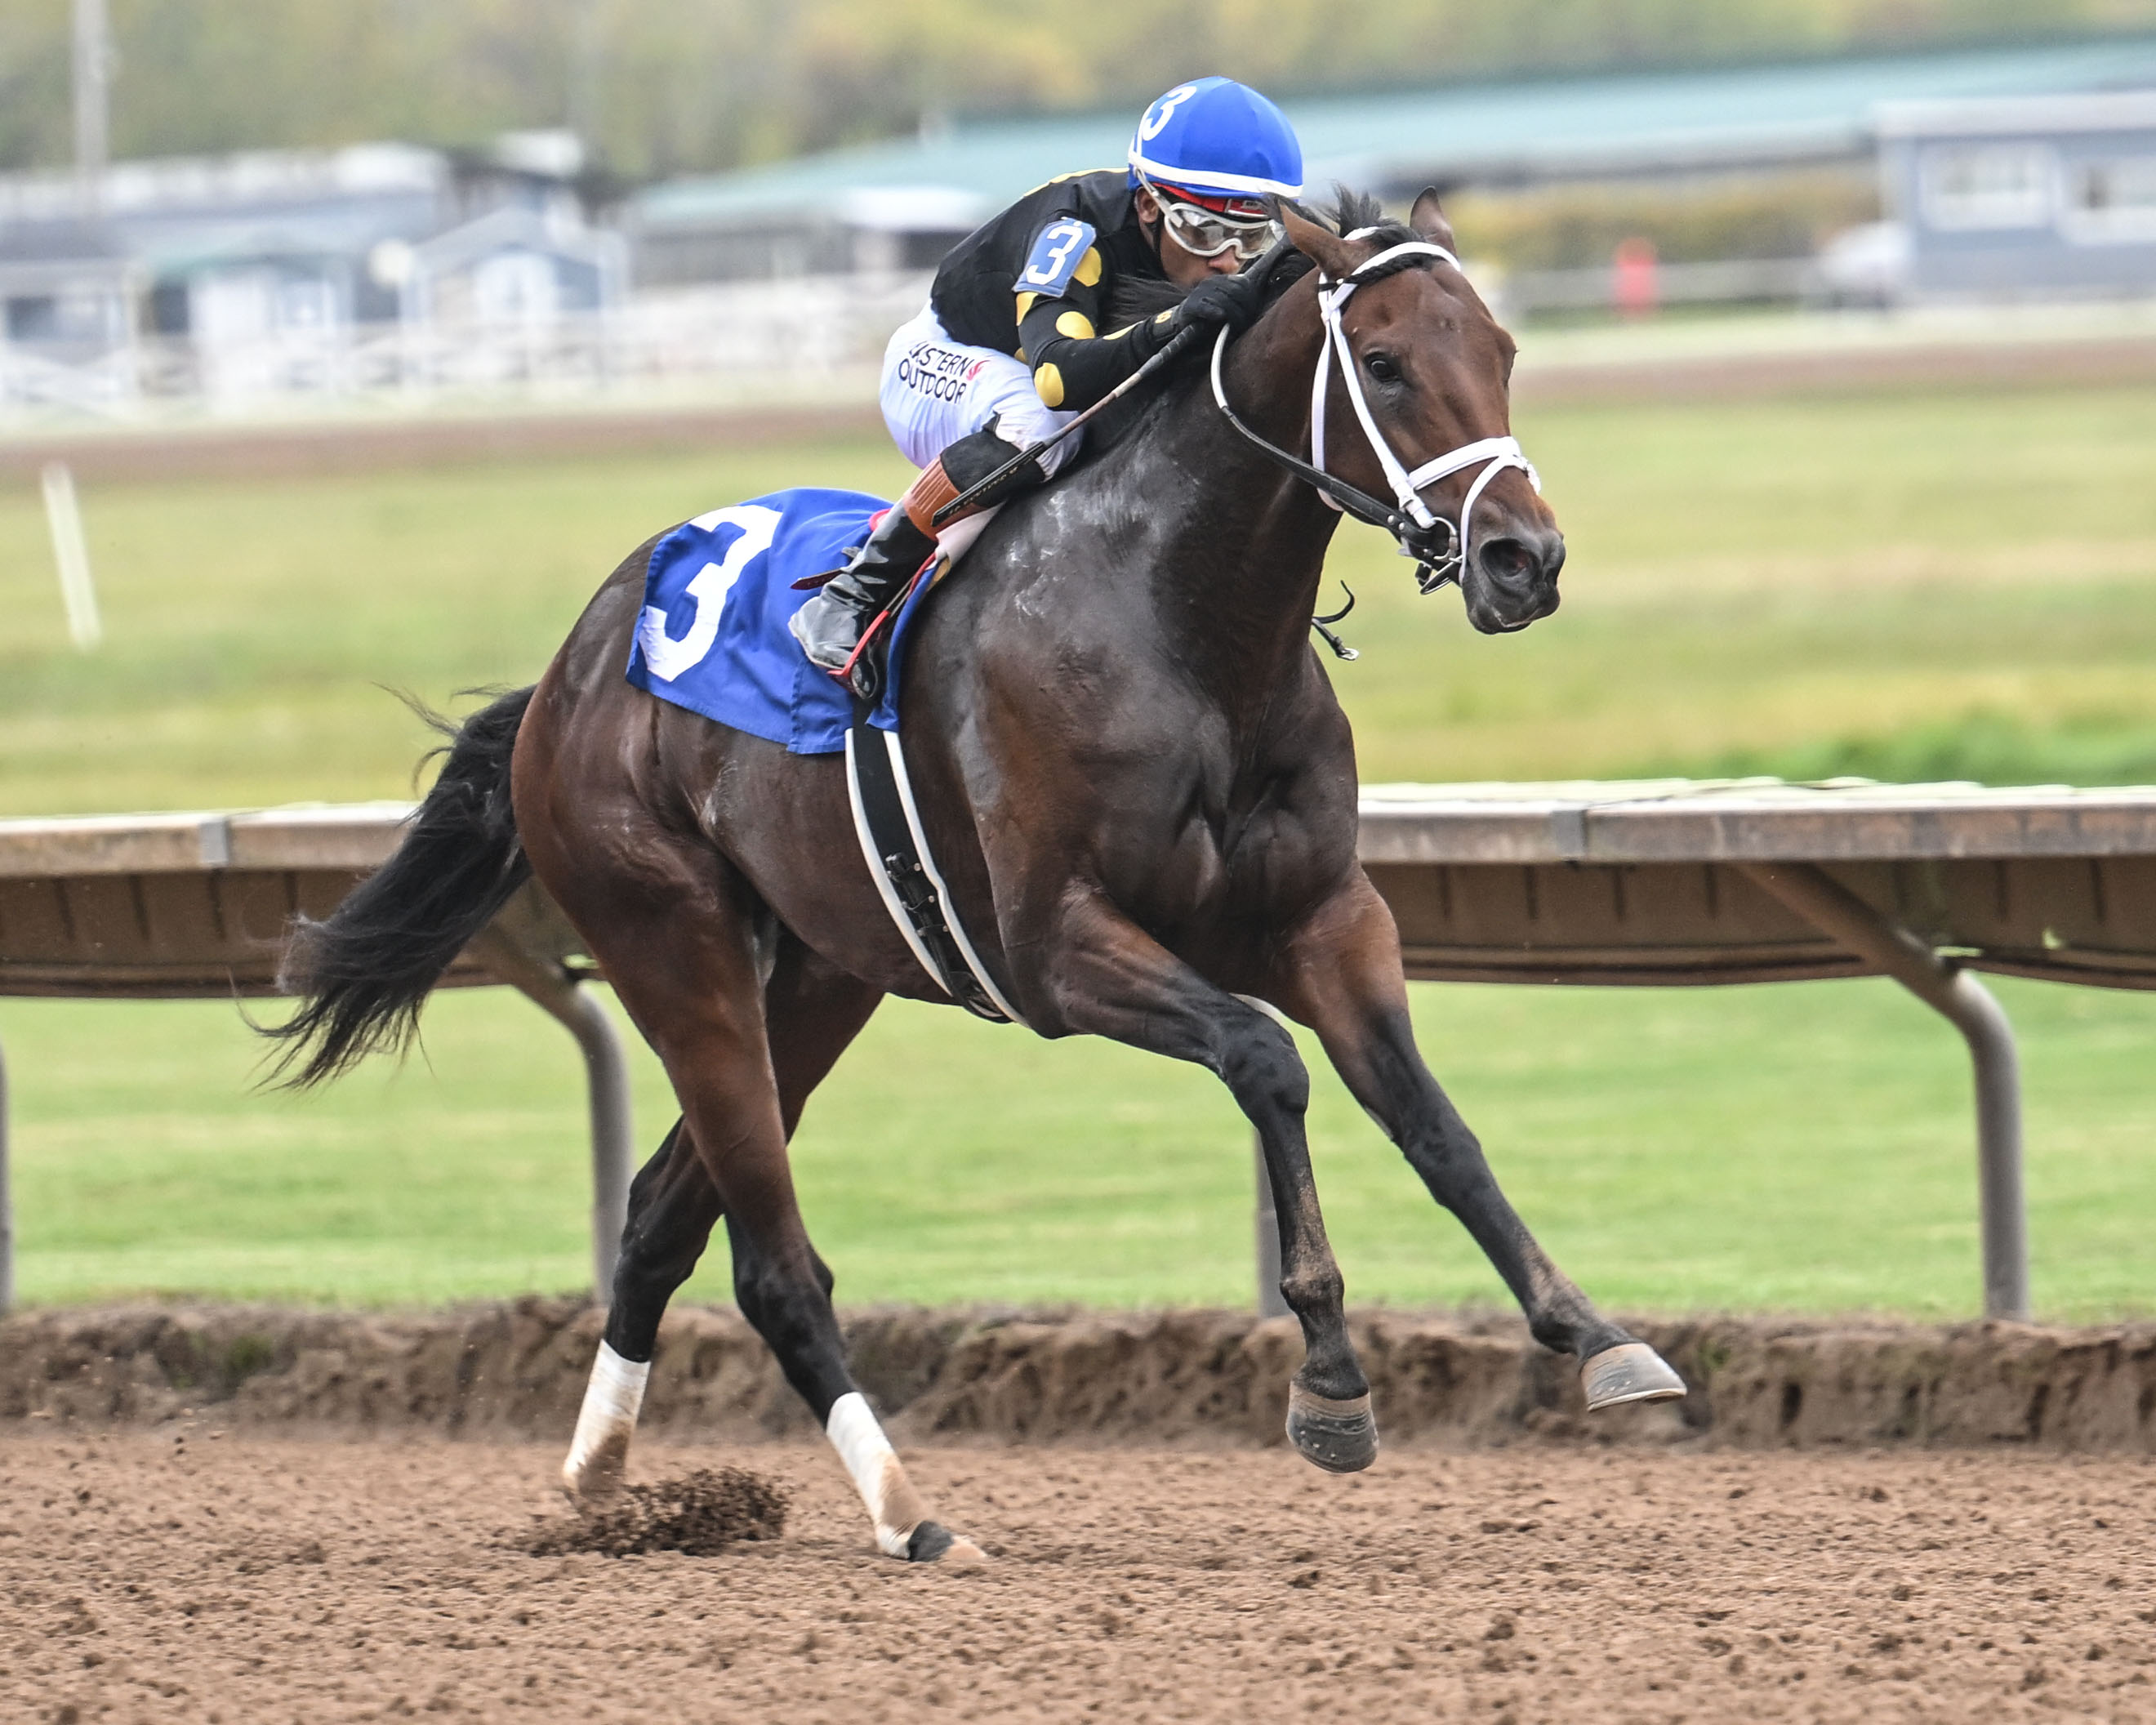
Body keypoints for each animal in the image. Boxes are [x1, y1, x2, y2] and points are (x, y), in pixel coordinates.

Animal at [266, 191, 1684, 1565]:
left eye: (1500, 352)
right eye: (1383, 366)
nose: (1523, 560)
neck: (1179, 624)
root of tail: (569, 671)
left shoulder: (1324, 917)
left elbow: (1433, 1124)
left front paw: (1600, 1339)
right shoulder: (1055, 953)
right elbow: (1267, 1061)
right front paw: (1330, 1379)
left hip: (824, 975)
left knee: (666, 1214)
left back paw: (602, 1485)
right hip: (672, 944)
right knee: (774, 1265)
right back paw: (908, 1515)